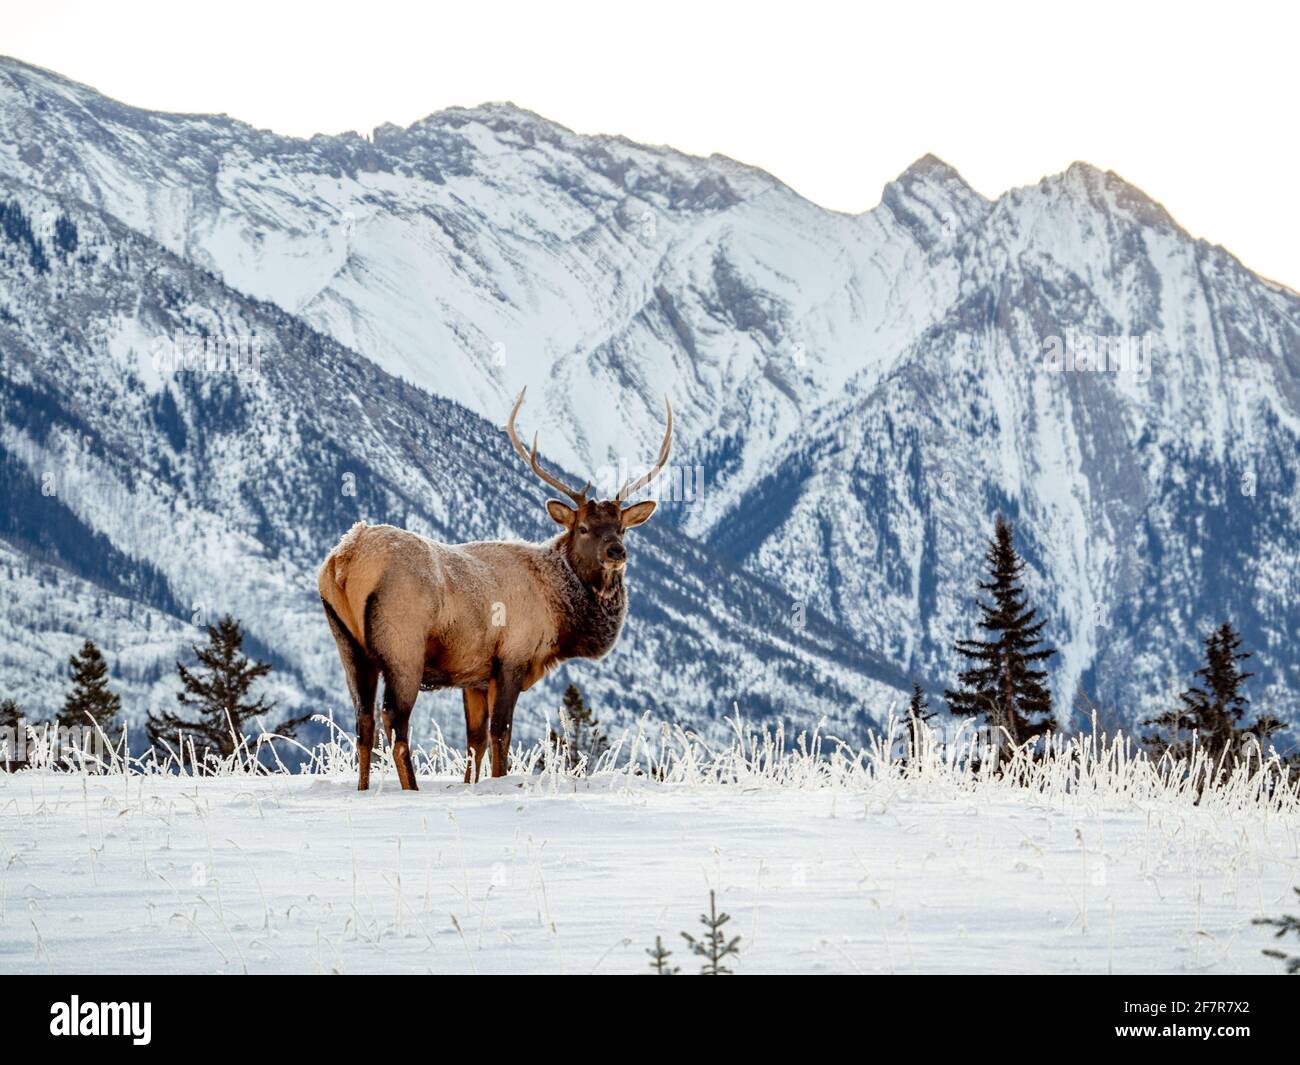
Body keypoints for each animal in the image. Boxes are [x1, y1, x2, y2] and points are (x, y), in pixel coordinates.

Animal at [317, 388, 672, 790]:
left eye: (622, 528)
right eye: (583, 528)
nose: (616, 552)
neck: (559, 617)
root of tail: (345, 560)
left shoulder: (474, 675)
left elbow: (475, 741)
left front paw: (472, 784)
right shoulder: (512, 658)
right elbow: (501, 734)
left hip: (348, 644)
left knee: (363, 720)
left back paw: (363, 789)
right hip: (402, 646)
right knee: (394, 720)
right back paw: (411, 789)